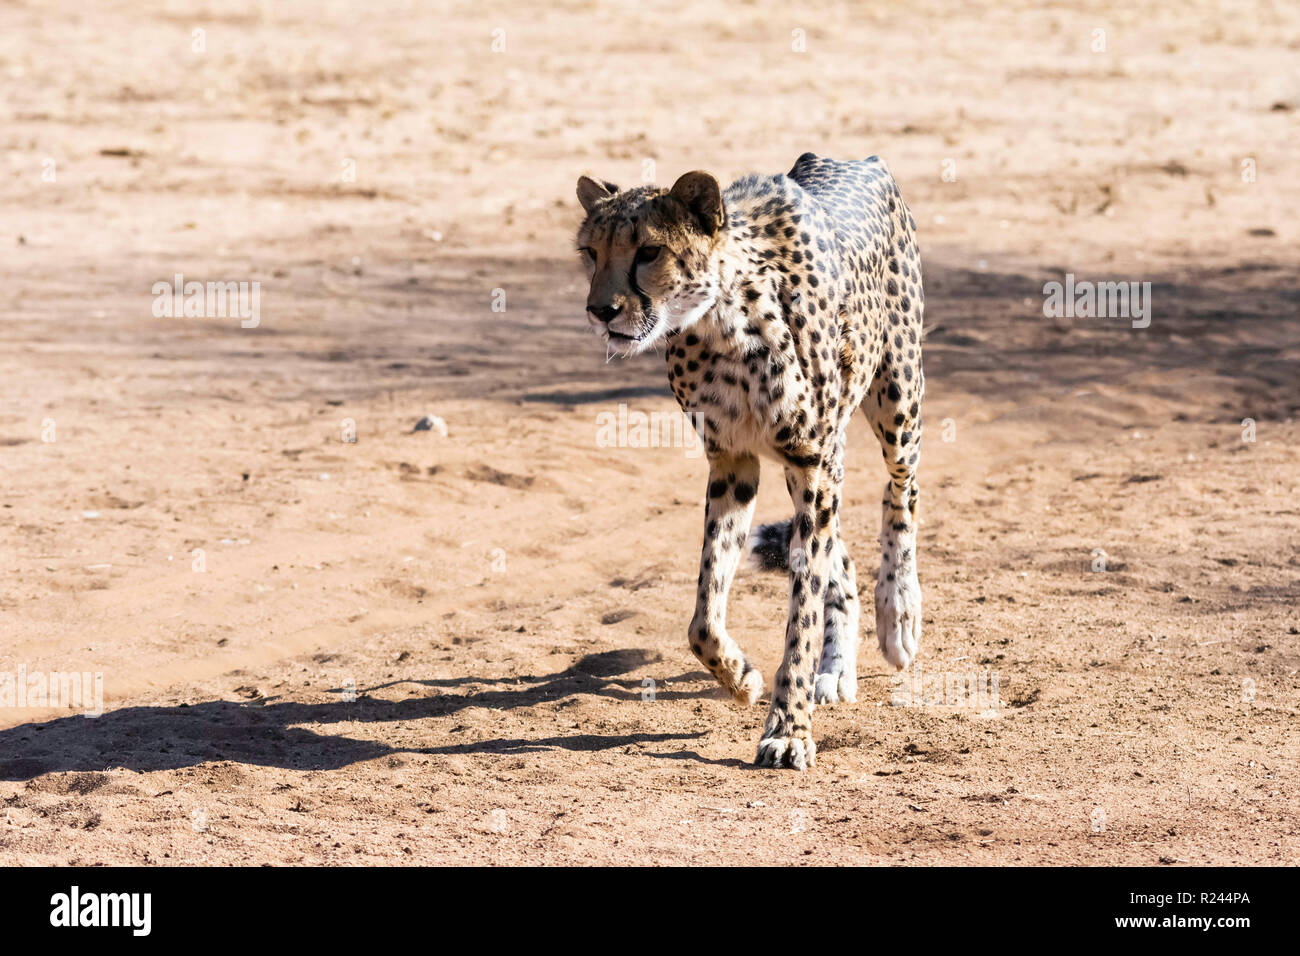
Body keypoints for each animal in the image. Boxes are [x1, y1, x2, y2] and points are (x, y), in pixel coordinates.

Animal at [574, 152, 924, 769]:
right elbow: (703, 617)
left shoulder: (809, 459)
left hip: (895, 403)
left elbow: (801, 613)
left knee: (901, 491)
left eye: (649, 251)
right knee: (841, 553)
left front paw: (789, 729)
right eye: (591, 252)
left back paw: (897, 613)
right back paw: (837, 669)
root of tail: (856, 158)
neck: (722, 320)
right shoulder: (734, 463)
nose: (602, 310)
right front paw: (741, 679)